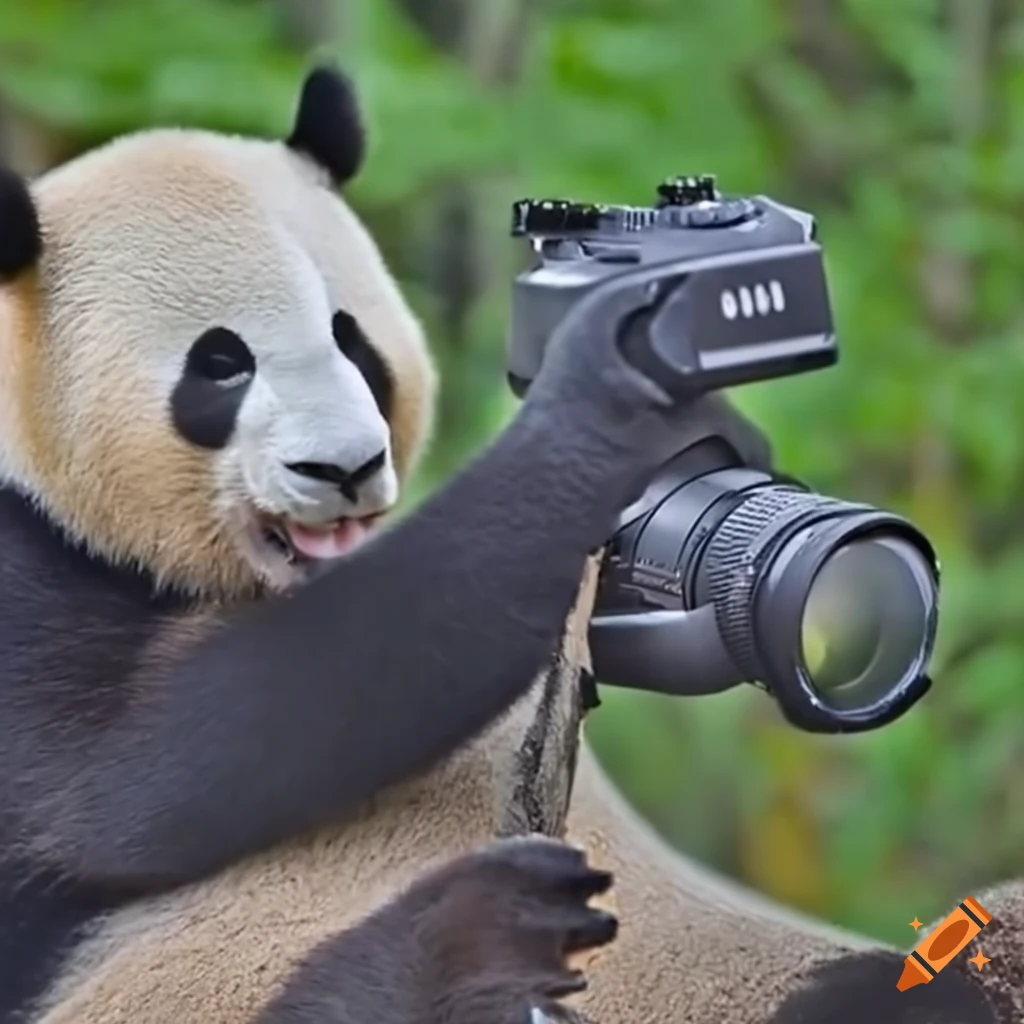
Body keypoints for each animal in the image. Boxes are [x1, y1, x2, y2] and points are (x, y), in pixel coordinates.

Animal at [0, 61, 1021, 1024]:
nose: (349, 466)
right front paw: (612, 396)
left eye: (352, 340)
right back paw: (469, 938)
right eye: (220, 366)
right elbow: (159, 762)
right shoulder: (28, 570)